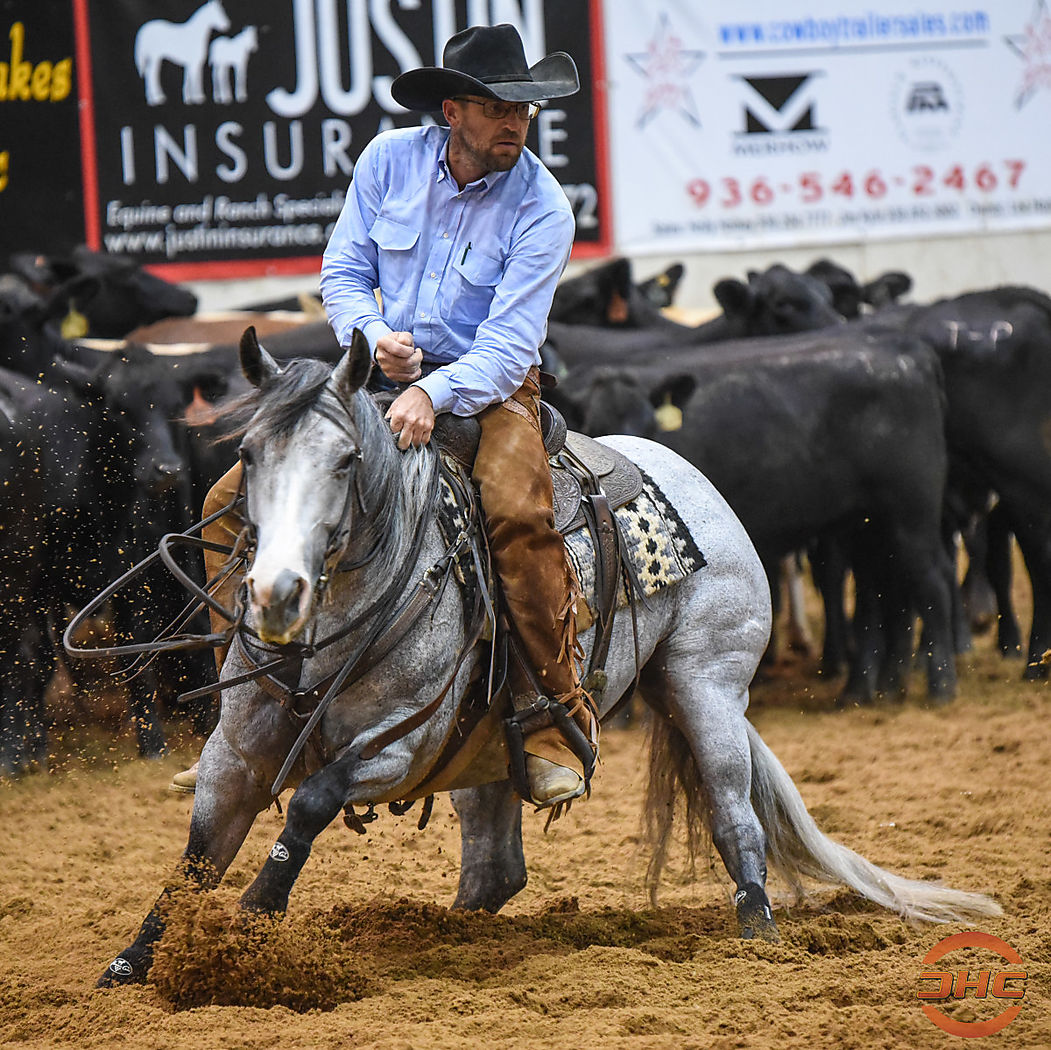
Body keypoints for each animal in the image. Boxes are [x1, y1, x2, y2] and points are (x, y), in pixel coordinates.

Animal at [95, 328, 1001, 986]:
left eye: (346, 460)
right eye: (248, 454)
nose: (276, 594)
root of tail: (689, 474)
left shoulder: (399, 747)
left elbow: (311, 803)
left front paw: (250, 926)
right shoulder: (239, 745)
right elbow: (197, 852)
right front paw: (134, 963)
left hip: (705, 683)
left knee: (733, 817)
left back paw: (756, 935)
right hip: (493, 745)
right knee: (495, 871)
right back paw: (442, 934)